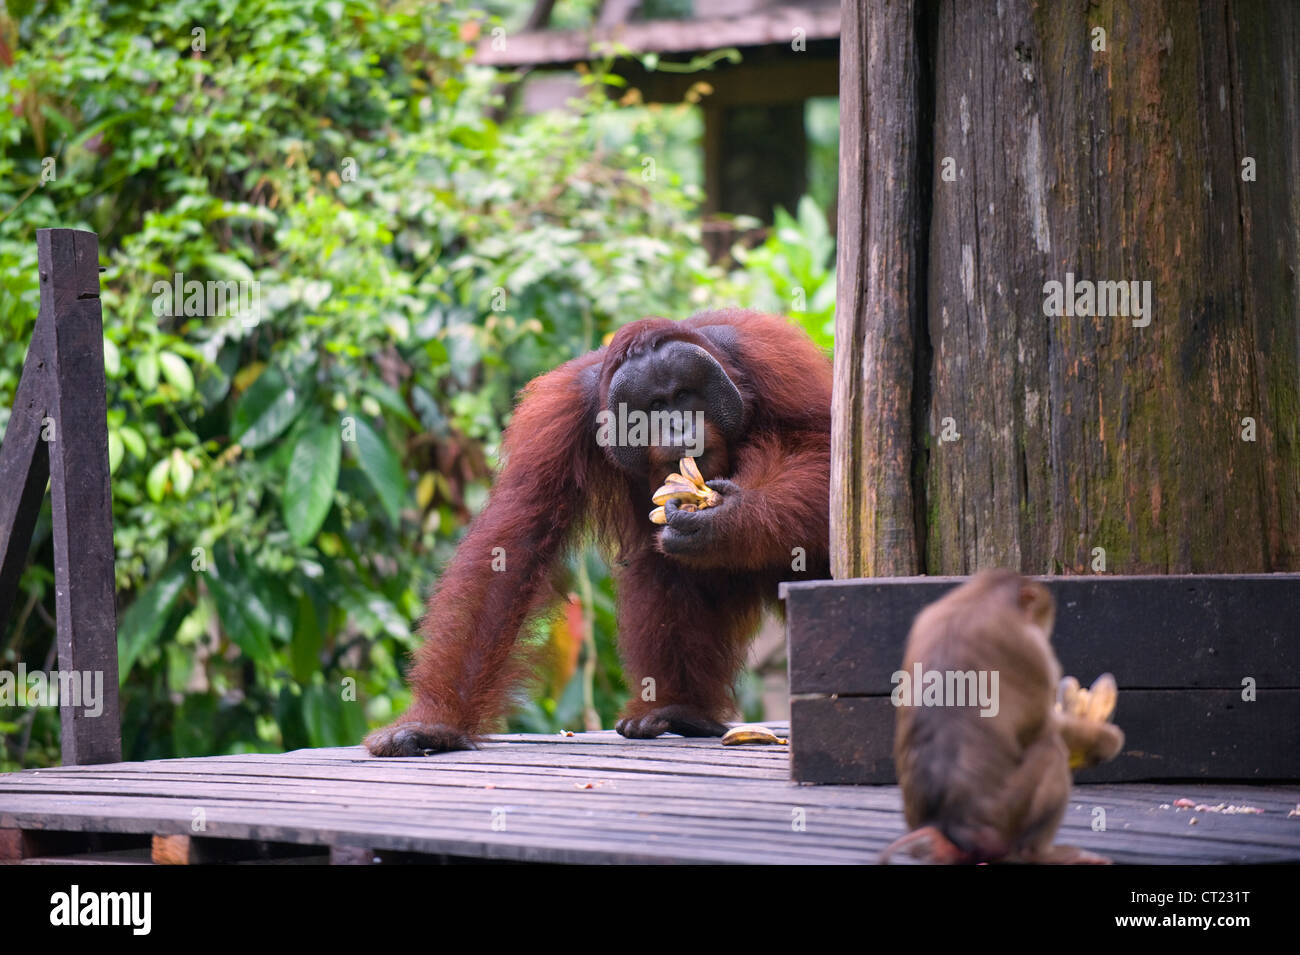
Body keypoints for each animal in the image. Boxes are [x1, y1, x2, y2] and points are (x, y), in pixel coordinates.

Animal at [880, 570, 1125, 864]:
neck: (983, 596)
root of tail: (947, 828)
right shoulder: (1032, 648)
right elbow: (1044, 726)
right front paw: (1106, 741)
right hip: (1004, 822)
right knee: (1050, 750)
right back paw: (1040, 854)